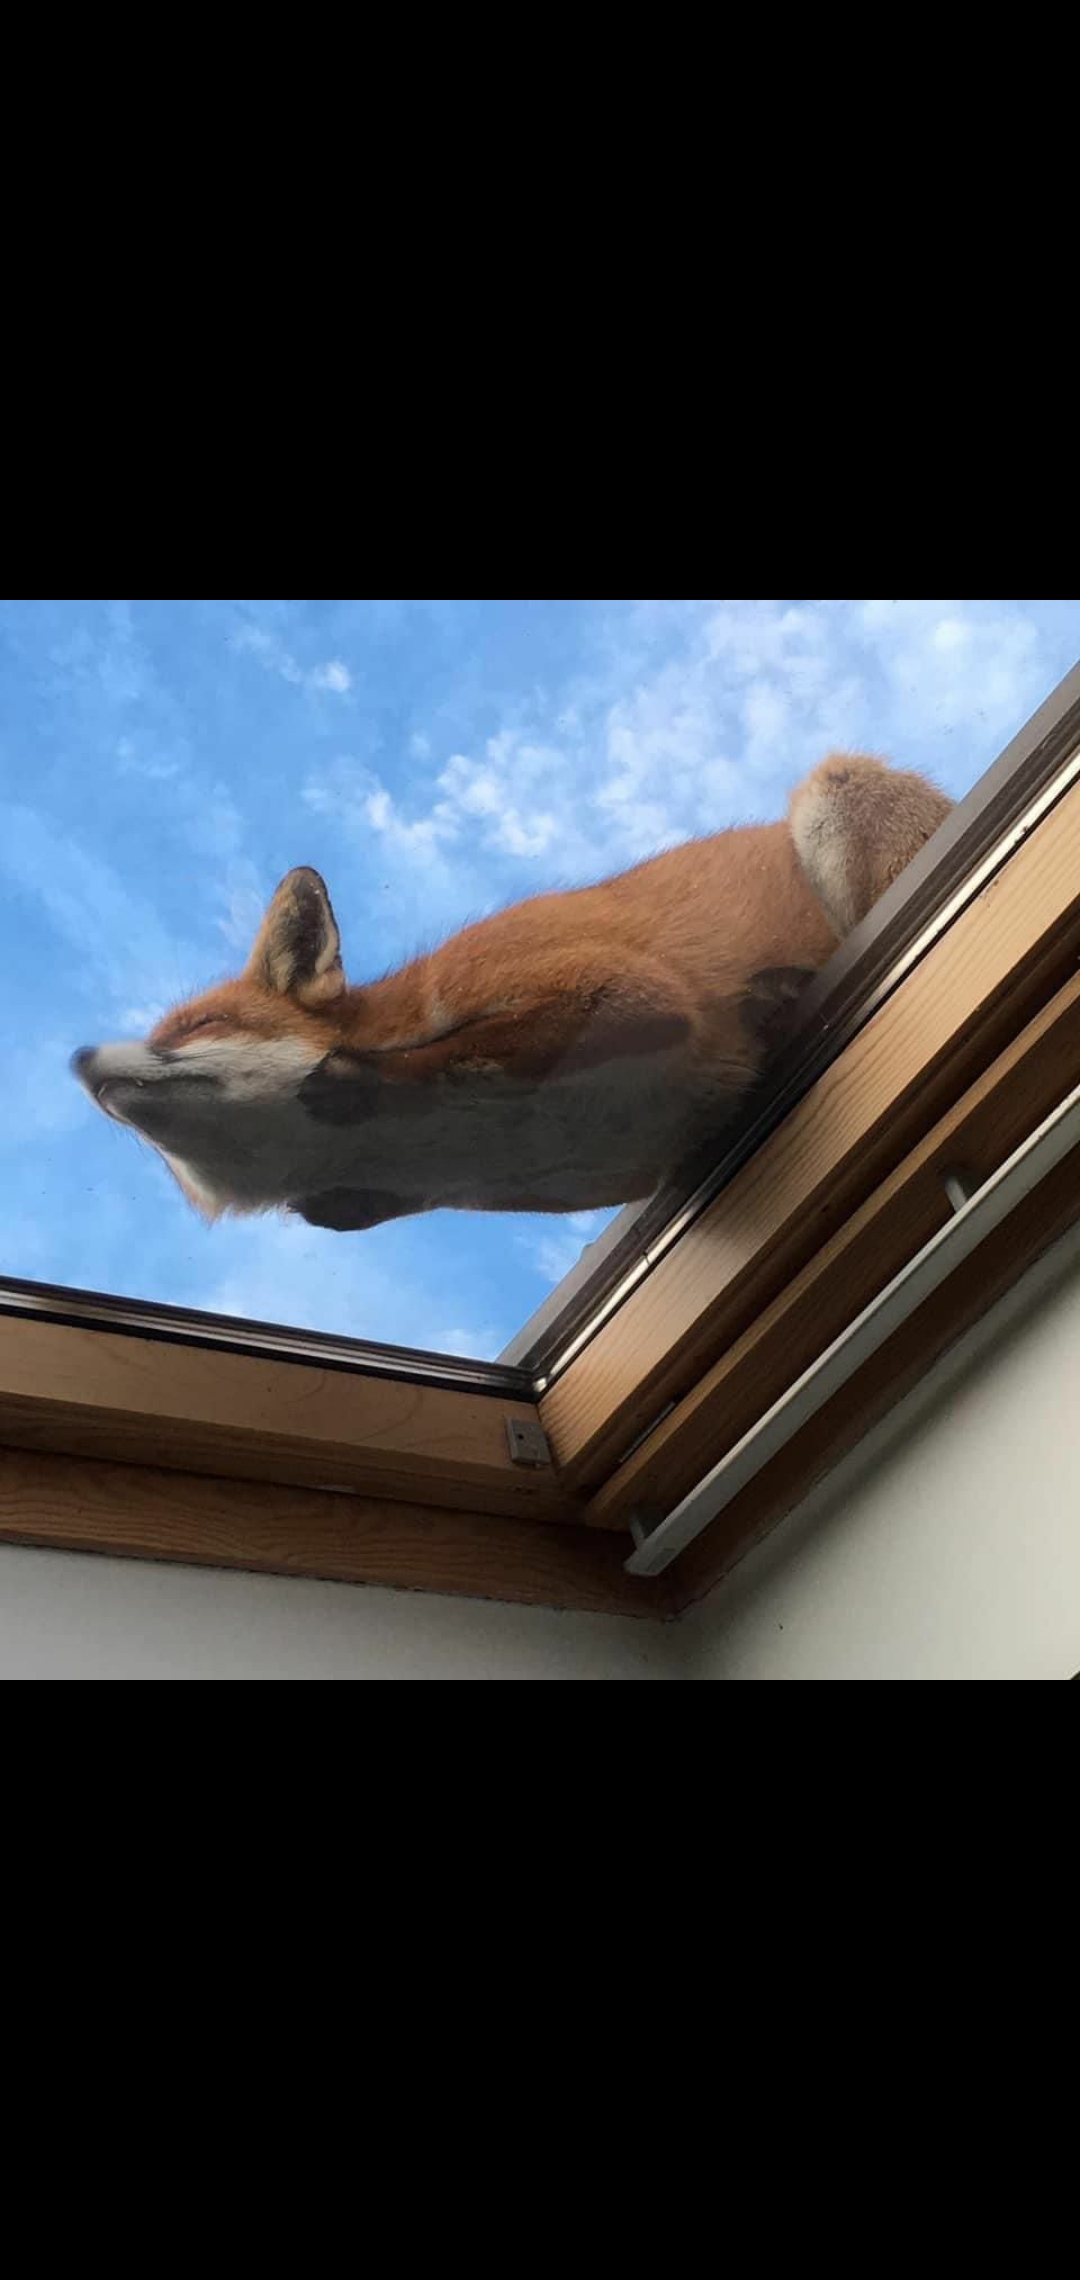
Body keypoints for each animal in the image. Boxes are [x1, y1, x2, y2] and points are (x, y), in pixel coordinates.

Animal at [72, 755, 952, 1233]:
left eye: (195, 1024)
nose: (77, 1057)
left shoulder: (613, 991)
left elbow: (468, 1051)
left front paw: (362, 1075)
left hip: (833, 792)